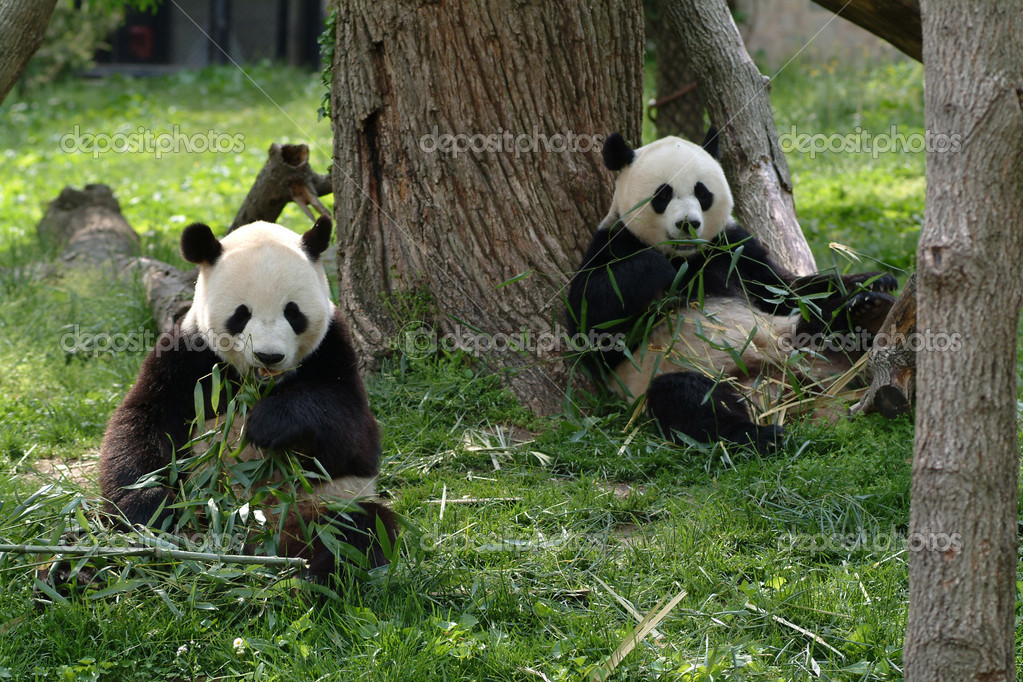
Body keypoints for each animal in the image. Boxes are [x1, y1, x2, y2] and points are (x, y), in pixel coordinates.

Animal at [99, 217, 397, 581]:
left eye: (293, 313)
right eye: (241, 314)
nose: (268, 356)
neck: (256, 384)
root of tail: (250, 537)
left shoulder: (334, 349)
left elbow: (355, 438)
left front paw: (271, 423)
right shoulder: (185, 355)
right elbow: (142, 423)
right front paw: (151, 511)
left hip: (317, 506)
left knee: (356, 530)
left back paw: (309, 575)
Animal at [567, 130, 897, 452]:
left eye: (702, 192)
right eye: (663, 195)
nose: (688, 224)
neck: (687, 256)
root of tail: (788, 390)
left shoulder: (734, 248)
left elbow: (786, 289)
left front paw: (875, 279)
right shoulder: (614, 242)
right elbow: (591, 326)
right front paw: (658, 269)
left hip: (795, 340)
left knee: (821, 321)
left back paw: (868, 311)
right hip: (687, 373)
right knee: (690, 398)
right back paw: (759, 436)